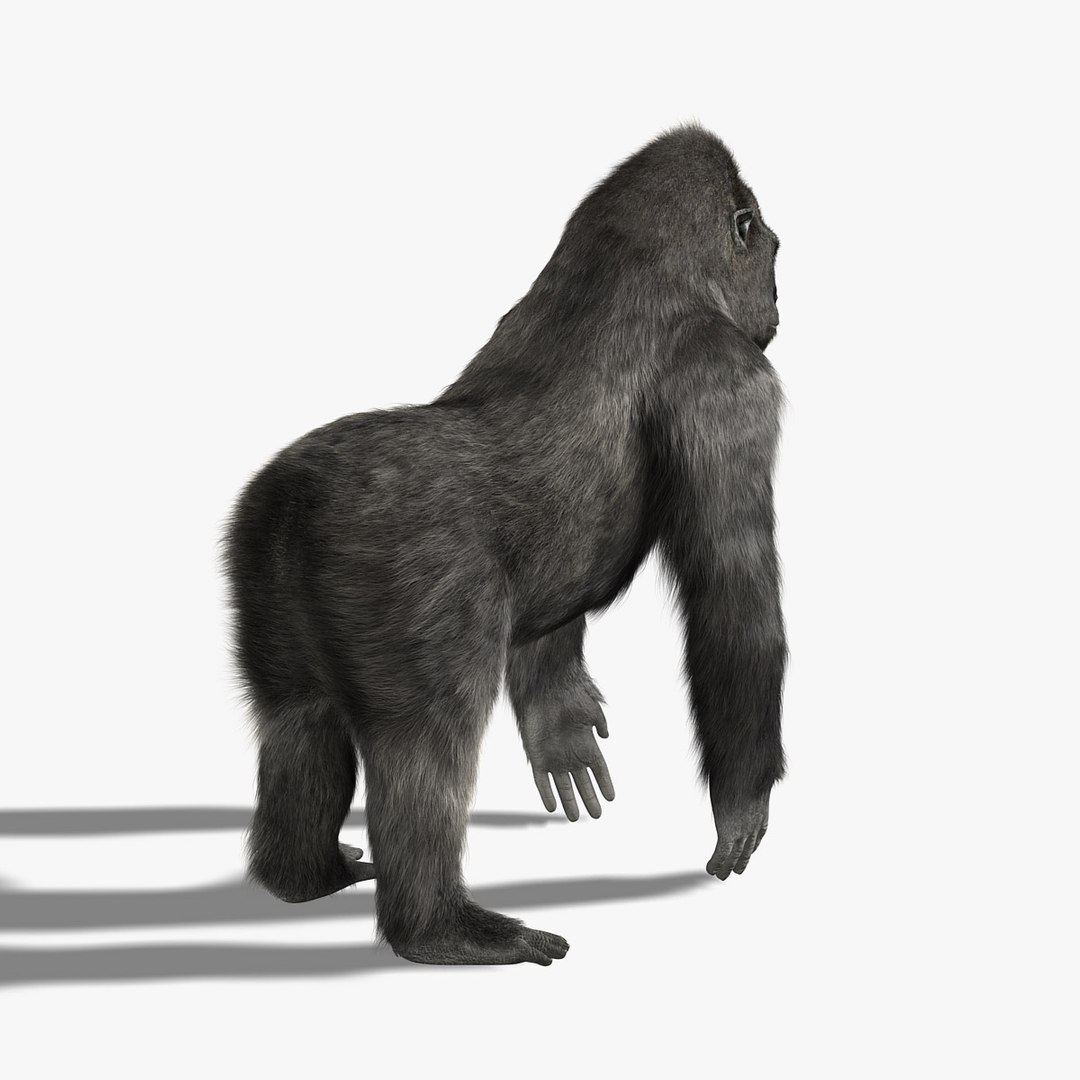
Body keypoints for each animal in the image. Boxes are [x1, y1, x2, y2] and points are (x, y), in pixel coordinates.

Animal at [224, 123, 786, 966]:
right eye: (764, 243)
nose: (780, 286)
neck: (630, 266)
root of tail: (291, 502)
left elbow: (551, 626)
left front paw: (560, 722)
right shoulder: (729, 377)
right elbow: (732, 596)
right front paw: (744, 802)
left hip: (259, 565)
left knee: (298, 723)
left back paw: (303, 877)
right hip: (405, 584)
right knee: (428, 747)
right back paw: (440, 929)